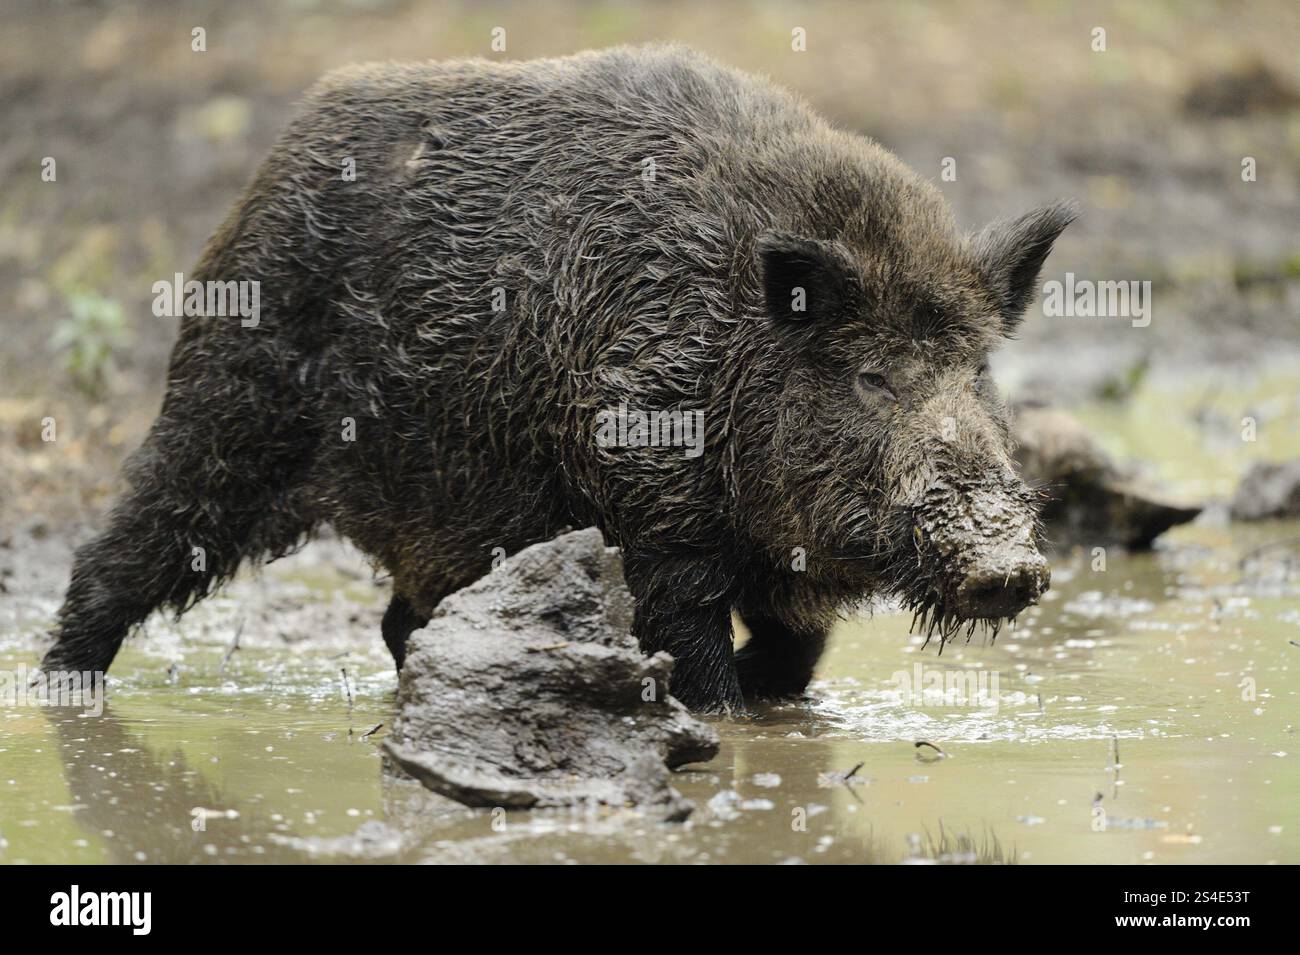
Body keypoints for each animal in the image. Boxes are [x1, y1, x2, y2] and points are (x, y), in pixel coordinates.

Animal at [42, 45, 1071, 711]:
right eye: (871, 377)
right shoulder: (651, 506)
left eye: (978, 368)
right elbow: (698, 650)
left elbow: (794, 654)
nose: (1010, 568)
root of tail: (273, 160)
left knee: (400, 619)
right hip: (230, 399)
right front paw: (720, 719)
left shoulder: (782, 566)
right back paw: (62, 688)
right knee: (122, 551)